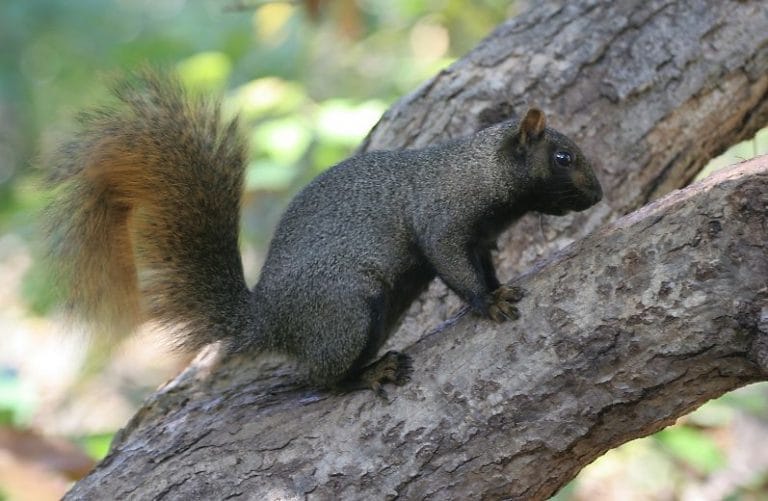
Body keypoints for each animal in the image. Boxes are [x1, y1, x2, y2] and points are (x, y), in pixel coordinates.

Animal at [46, 71, 602, 396]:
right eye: (562, 157)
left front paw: (500, 287)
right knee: (321, 378)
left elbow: (483, 264)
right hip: (347, 306)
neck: (482, 172)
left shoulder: (483, 238)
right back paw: (367, 374)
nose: (598, 195)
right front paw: (489, 302)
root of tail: (268, 320)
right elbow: (453, 264)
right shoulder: (442, 219)